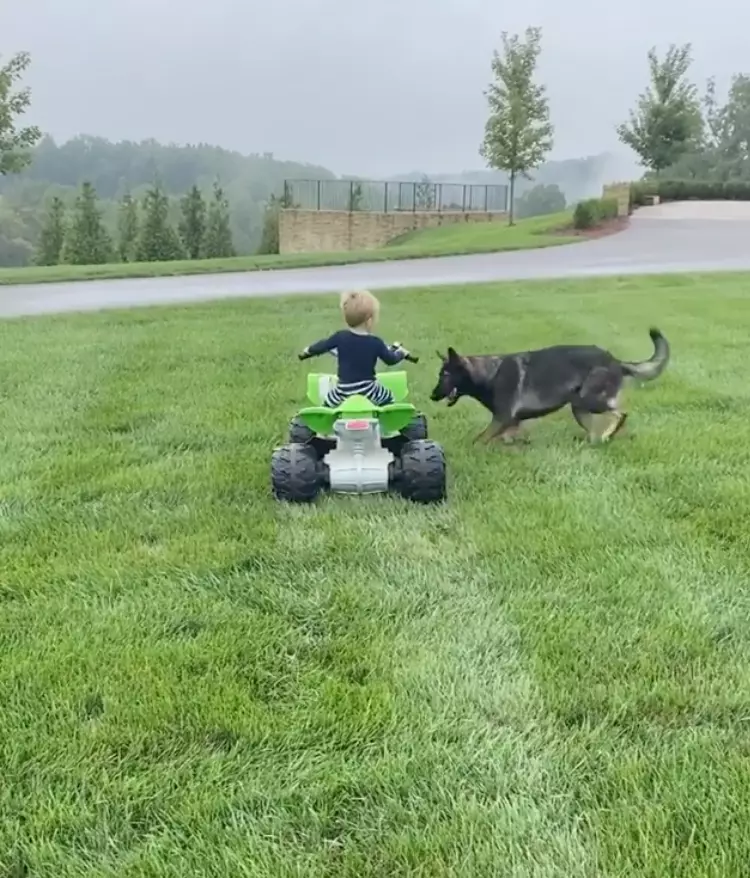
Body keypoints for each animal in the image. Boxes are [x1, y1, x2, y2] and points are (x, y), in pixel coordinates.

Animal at [432, 328, 672, 444]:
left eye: (445, 375)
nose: (431, 397)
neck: (488, 373)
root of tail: (615, 360)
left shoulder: (502, 418)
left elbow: (479, 439)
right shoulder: (511, 421)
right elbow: (507, 436)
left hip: (588, 400)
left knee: (620, 414)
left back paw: (609, 433)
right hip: (579, 407)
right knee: (598, 429)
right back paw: (599, 439)